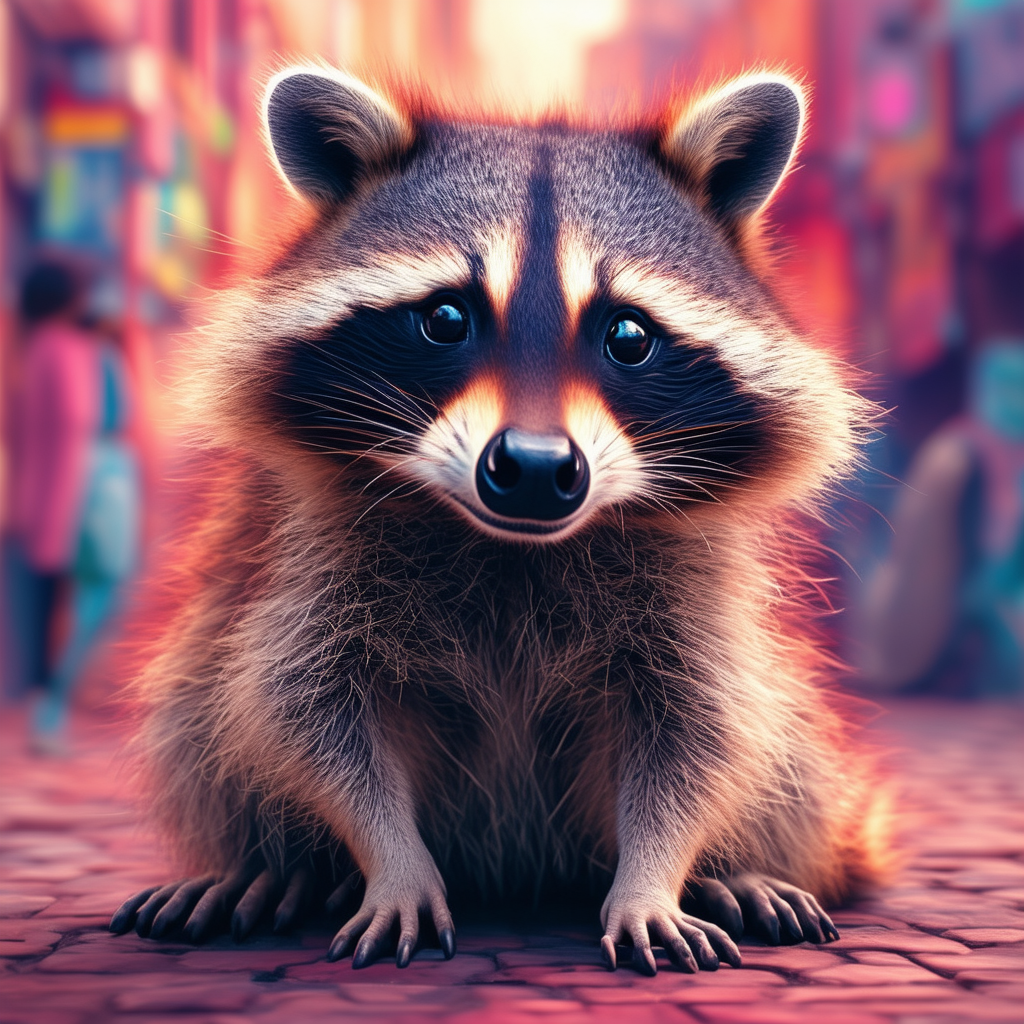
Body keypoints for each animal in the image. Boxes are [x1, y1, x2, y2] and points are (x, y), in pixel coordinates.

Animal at [111, 66, 885, 975]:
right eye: (446, 318)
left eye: (628, 335)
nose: (539, 471)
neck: (515, 550)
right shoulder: (314, 561)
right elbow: (307, 711)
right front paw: (391, 861)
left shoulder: (688, 591)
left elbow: (699, 731)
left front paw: (657, 874)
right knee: (198, 711)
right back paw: (268, 869)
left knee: (781, 740)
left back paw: (739, 869)